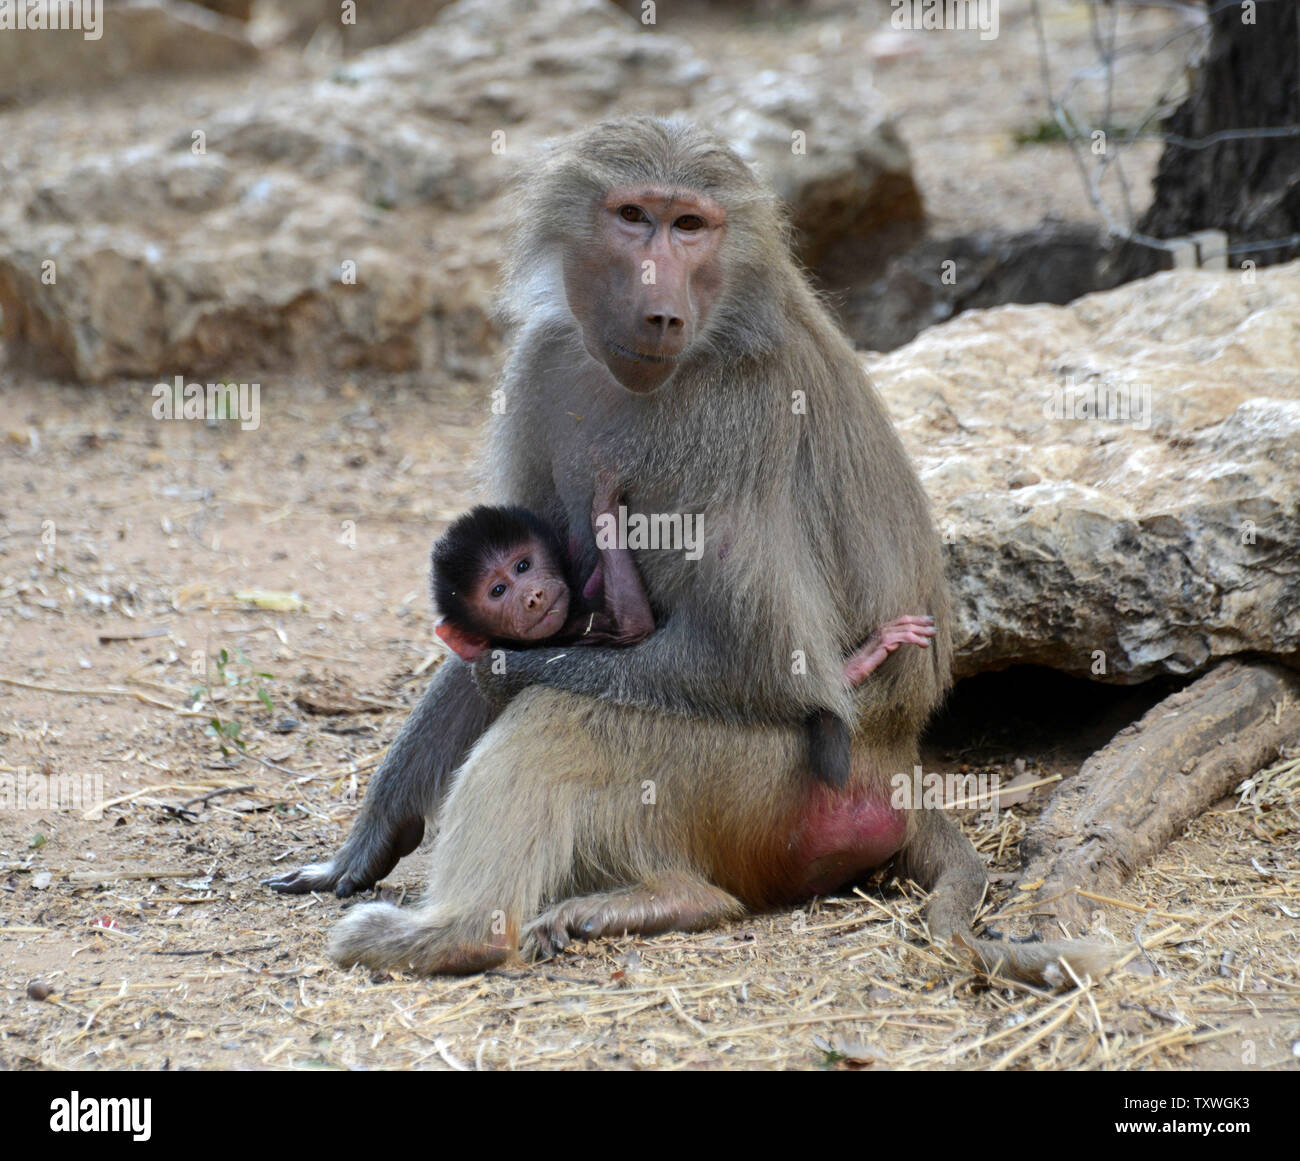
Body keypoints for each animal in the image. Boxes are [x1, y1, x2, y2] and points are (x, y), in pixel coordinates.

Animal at [266, 116, 1115, 986]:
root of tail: (899, 763)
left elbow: (767, 666)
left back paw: (458, 931)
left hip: (760, 780)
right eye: (633, 215)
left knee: (564, 717)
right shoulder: (545, 362)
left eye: (689, 226)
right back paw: (653, 898)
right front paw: (366, 840)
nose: (659, 311)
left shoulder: (736, 419)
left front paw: (505, 668)